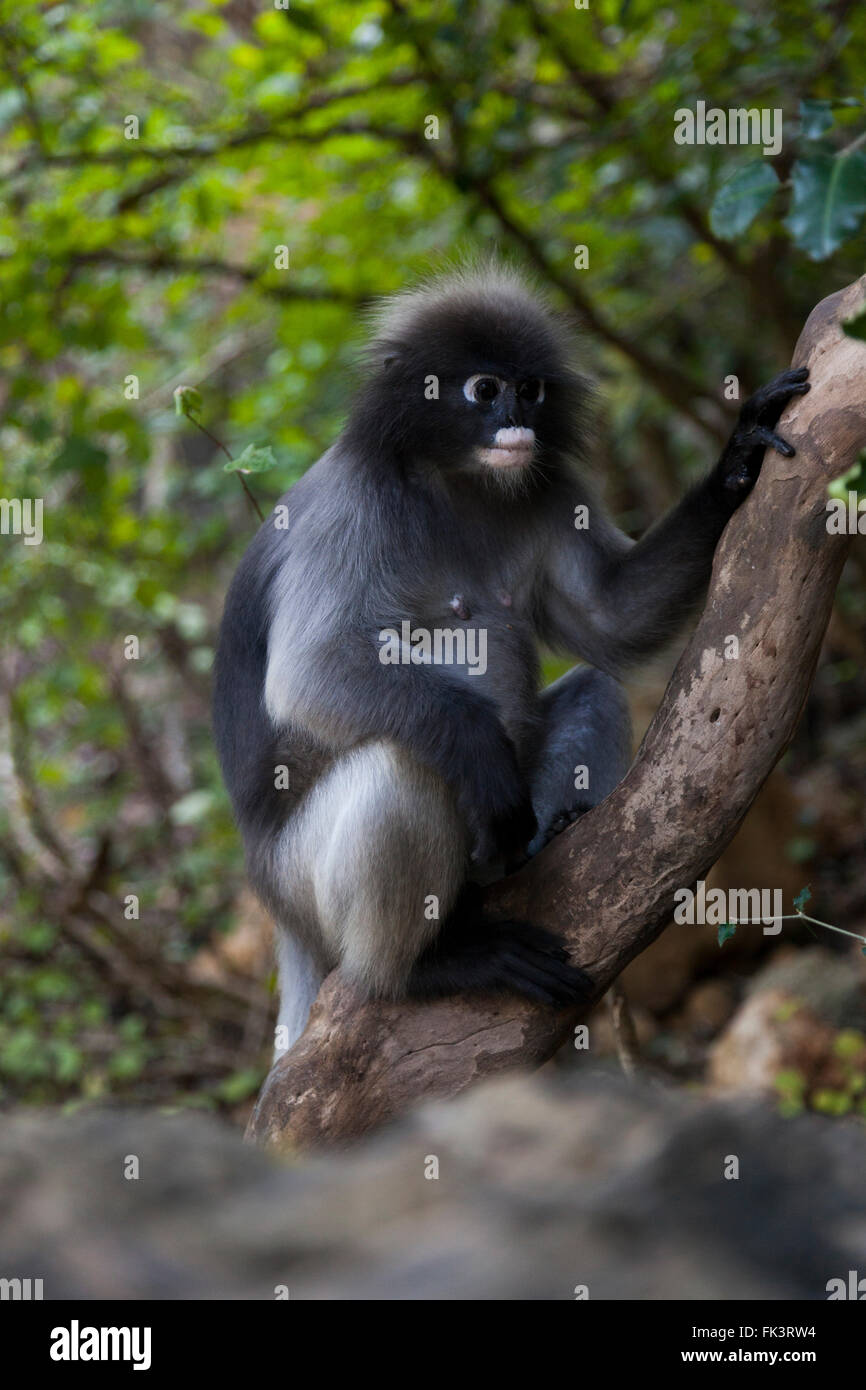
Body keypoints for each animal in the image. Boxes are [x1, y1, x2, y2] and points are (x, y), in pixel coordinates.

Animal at [213, 264, 809, 1055]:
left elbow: (611, 621)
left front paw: (736, 457)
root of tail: (272, 903)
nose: (515, 422)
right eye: (483, 389)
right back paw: (422, 968)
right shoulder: (352, 507)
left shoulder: (547, 489)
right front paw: (480, 756)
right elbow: (307, 676)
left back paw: (539, 844)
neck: (453, 480)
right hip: (302, 881)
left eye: (530, 390)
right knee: (400, 766)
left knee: (594, 689)